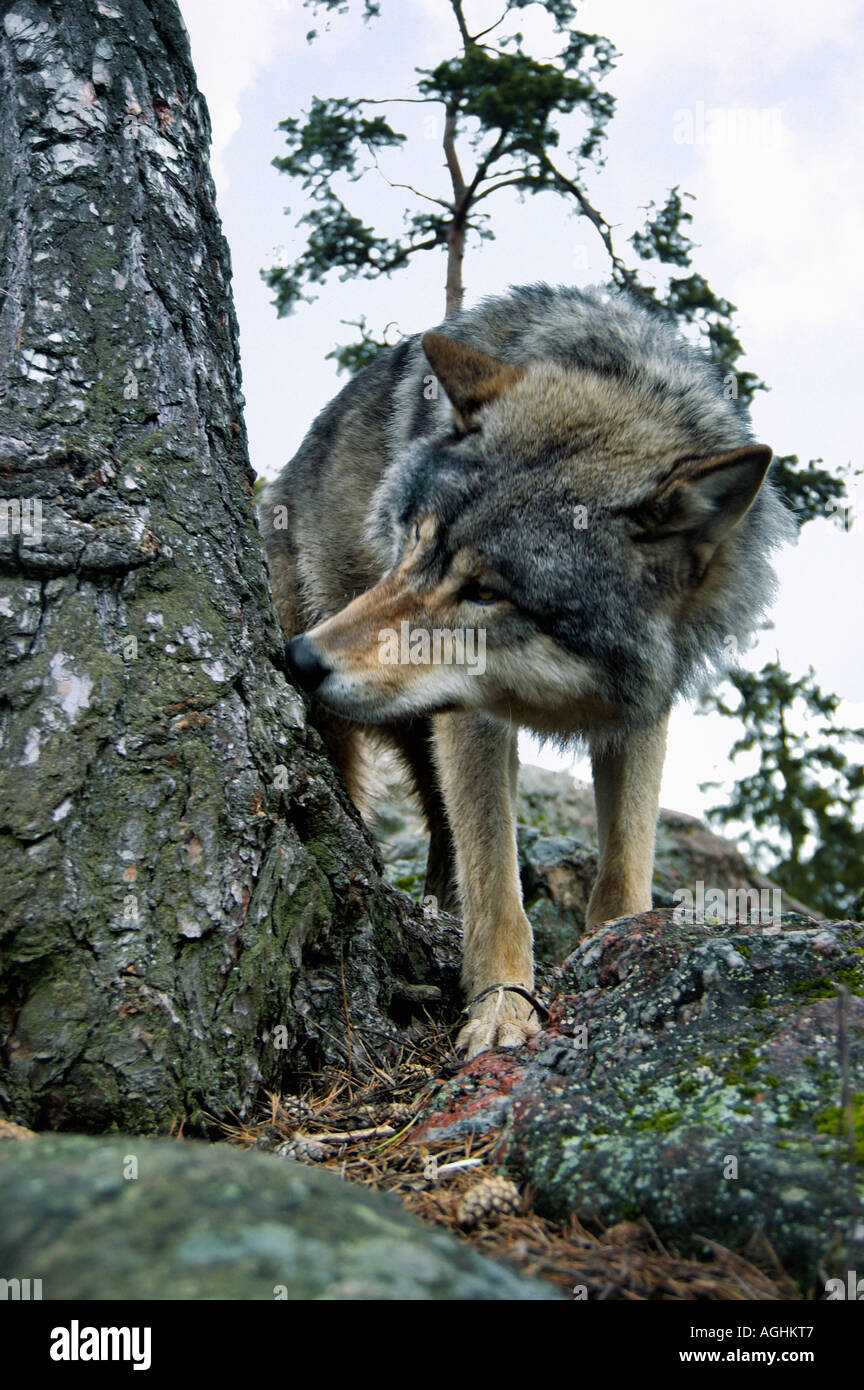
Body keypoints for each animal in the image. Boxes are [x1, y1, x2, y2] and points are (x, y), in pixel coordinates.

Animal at [261, 284, 791, 1058]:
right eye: (414, 542)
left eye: (485, 592)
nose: (301, 658)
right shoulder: (473, 720)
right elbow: (496, 885)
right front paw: (503, 1010)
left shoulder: (642, 710)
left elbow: (625, 868)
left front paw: (623, 950)